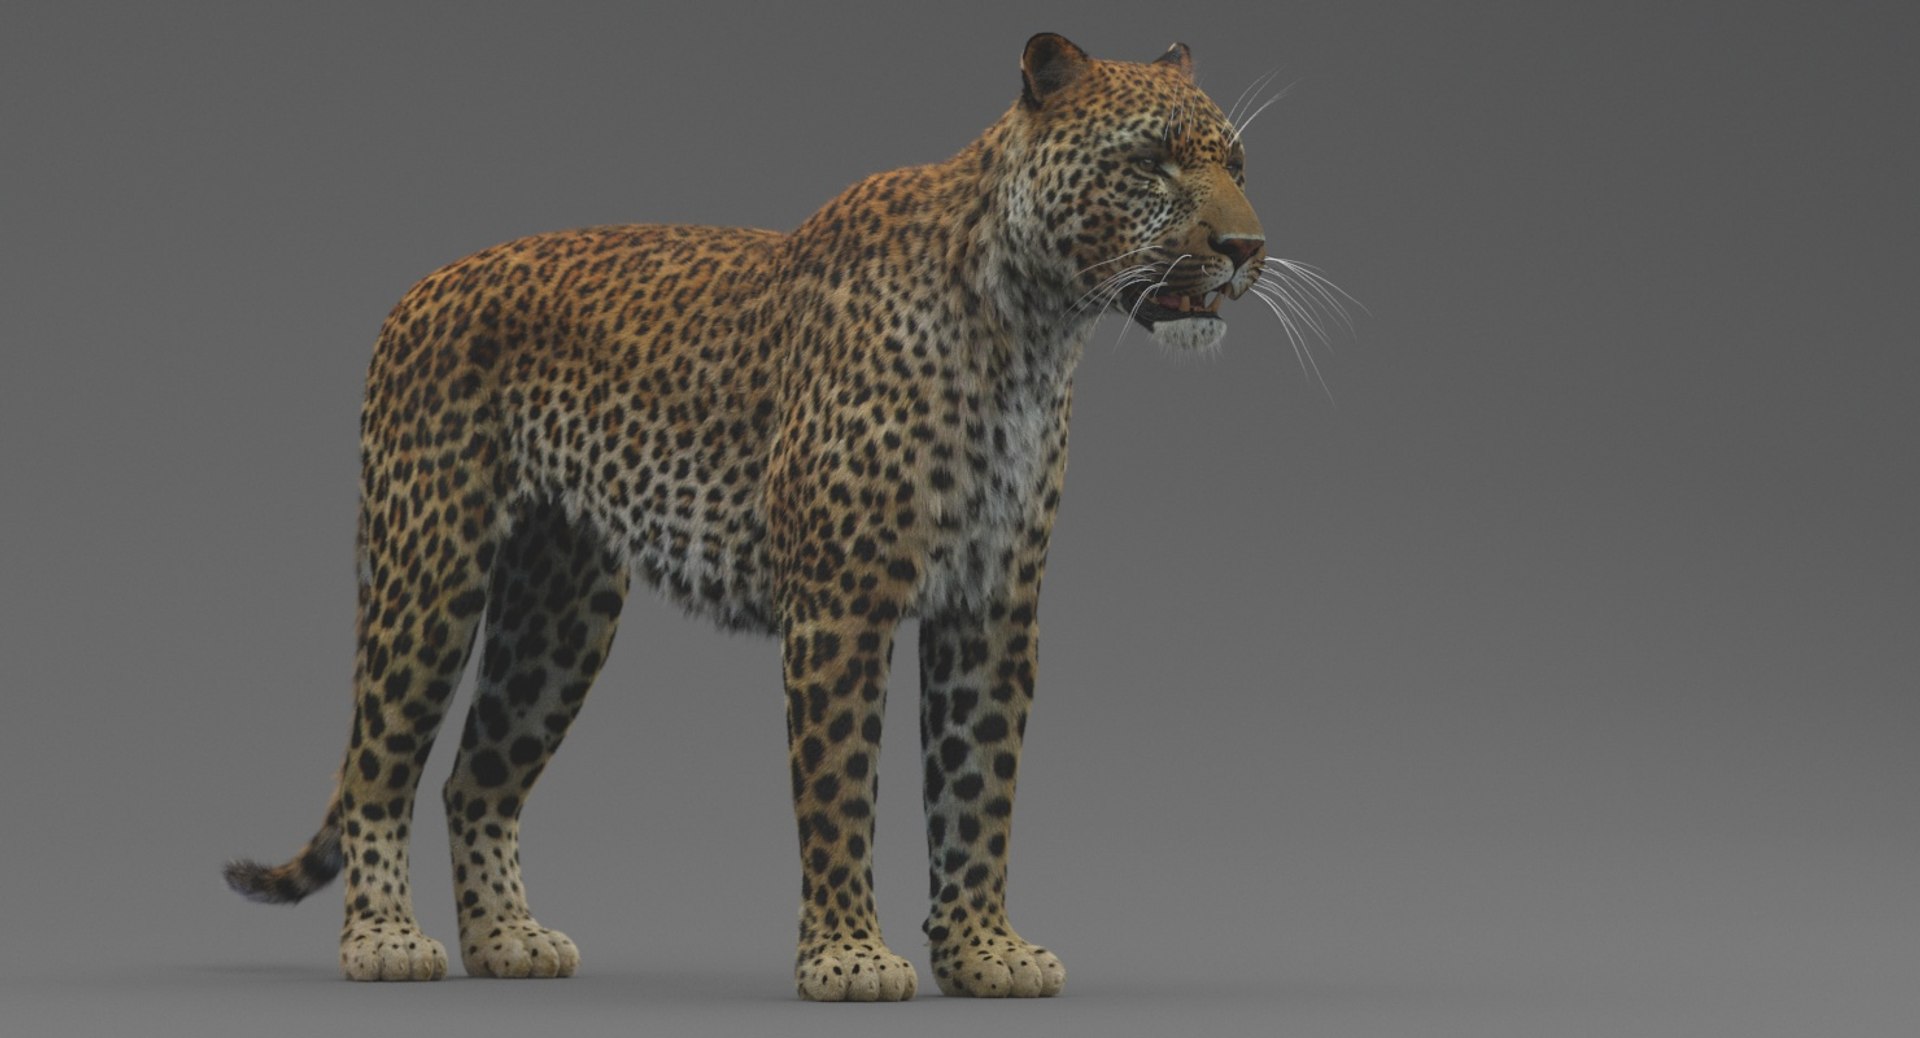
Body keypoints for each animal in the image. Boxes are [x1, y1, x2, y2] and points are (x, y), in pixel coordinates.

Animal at [225, 32, 1269, 1001]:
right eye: (1151, 162)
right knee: (380, 764)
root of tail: (419, 290)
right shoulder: (841, 609)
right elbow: (842, 790)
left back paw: (508, 942)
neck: (1032, 329)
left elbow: (978, 789)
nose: (1246, 249)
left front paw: (984, 953)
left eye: (1237, 166)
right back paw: (385, 942)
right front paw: (849, 960)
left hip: (560, 615)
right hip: (430, 573)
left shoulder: (993, 607)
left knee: (474, 776)